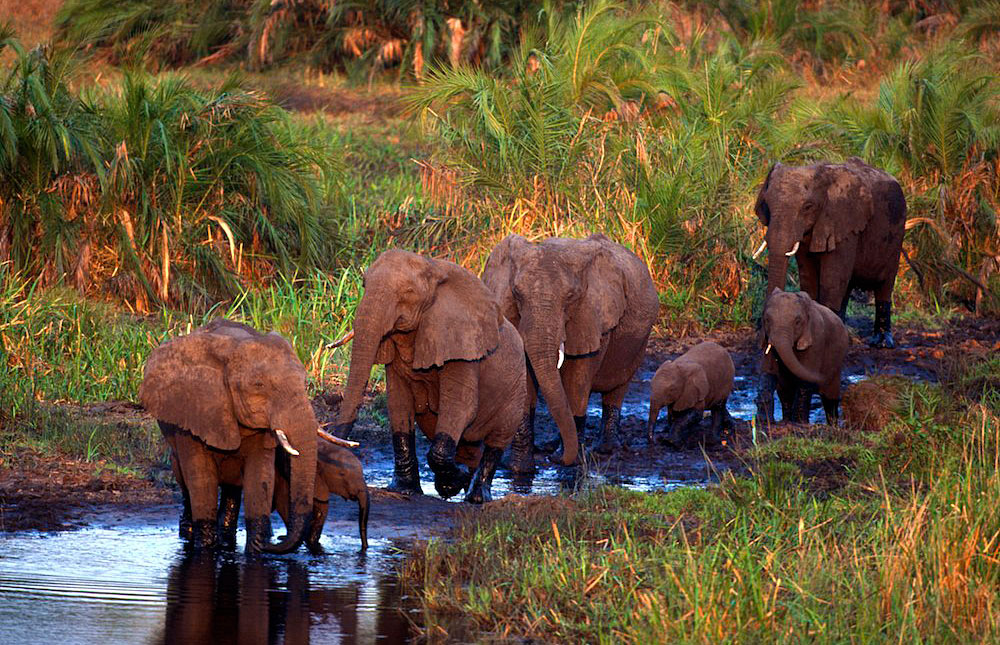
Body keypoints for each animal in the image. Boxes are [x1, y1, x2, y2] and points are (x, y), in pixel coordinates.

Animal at [140, 318, 320, 553]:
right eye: (259, 385)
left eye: (305, 383)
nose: (276, 540)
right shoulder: (195, 412)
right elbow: (201, 478)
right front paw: (206, 548)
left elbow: (260, 477)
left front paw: (256, 550)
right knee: (184, 479)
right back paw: (188, 532)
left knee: (232, 485)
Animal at [329, 249, 526, 504]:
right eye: (364, 284)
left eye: (407, 293)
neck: (433, 268)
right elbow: (399, 404)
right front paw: (403, 490)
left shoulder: (462, 345)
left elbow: (462, 406)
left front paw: (452, 483)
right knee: (469, 446)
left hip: (517, 390)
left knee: (496, 441)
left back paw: (475, 496)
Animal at [482, 233, 659, 471]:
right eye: (517, 293)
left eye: (571, 296)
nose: (553, 459)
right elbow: (526, 379)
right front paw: (520, 469)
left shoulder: (594, 314)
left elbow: (577, 378)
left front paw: (569, 461)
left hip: (640, 341)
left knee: (617, 388)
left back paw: (605, 449)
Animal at [754, 157, 906, 348]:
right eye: (767, 204)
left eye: (808, 207)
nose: (763, 342)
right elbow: (809, 277)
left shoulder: (845, 223)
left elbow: (831, 279)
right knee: (846, 287)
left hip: (897, 234)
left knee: (884, 286)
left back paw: (882, 342)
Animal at [759, 290, 849, 424]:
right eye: (767, 320)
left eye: (797, 322)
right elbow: (774, 377)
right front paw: (775, 421)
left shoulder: (816, 339)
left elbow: (805, 381)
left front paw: (800, 423)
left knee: (830, 396)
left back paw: (832, 425)